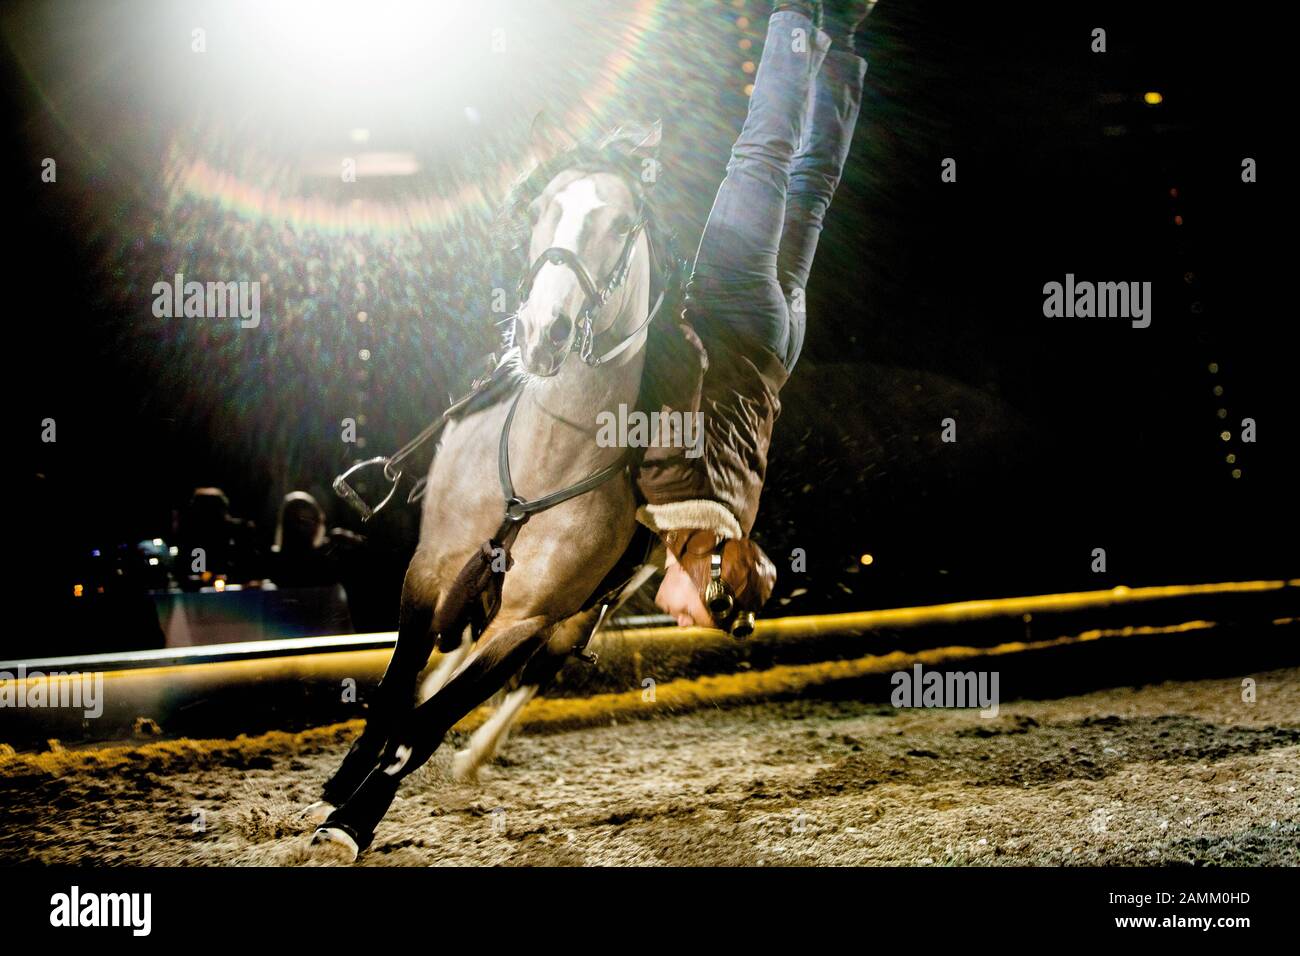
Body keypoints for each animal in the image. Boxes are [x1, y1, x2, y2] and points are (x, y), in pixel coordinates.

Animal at [305, 118, 669, 861]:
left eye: (622, 223)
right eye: (543, 209)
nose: (542, 332)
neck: (545, 459)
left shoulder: (528, 615)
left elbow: (425, 724)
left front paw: (353, 823)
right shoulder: (429, 572)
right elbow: (396, 694)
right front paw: (338, 791)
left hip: (575, 615)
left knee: (526, 676)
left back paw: (473, 757)